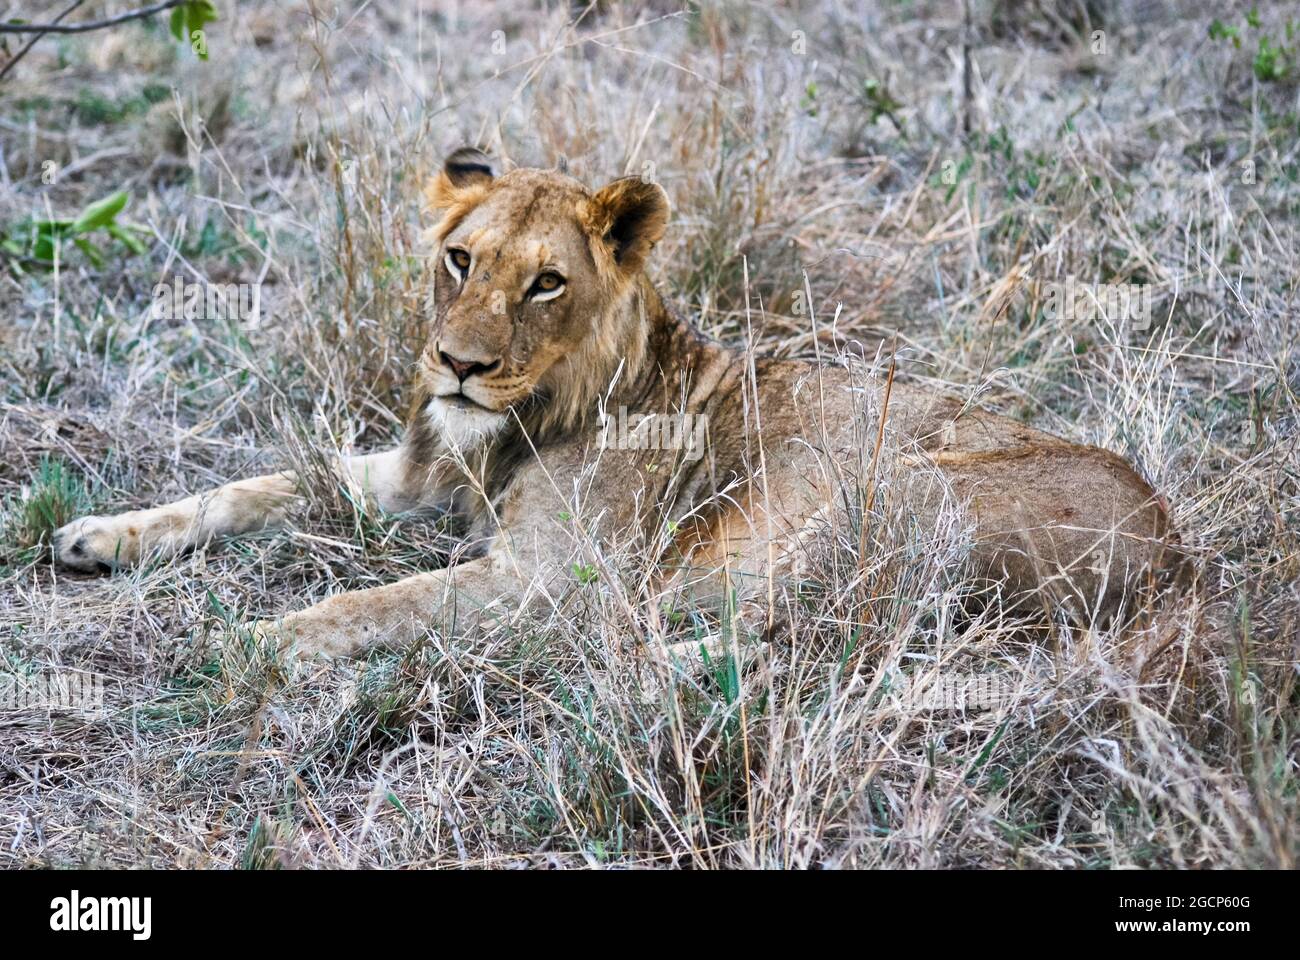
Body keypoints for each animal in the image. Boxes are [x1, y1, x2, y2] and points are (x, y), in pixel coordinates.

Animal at [53, 147, 1178, 661]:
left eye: (547, 282)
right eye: (460, 259)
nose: (454, 365)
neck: (507, 429)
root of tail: (1177, 556)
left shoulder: (545, 582)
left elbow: (376, 601)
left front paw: (256, 643)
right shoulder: (413, 482)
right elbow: (251, 487)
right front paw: (100, 534)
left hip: (881, 500)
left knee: (808, 645)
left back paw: (630, 667)